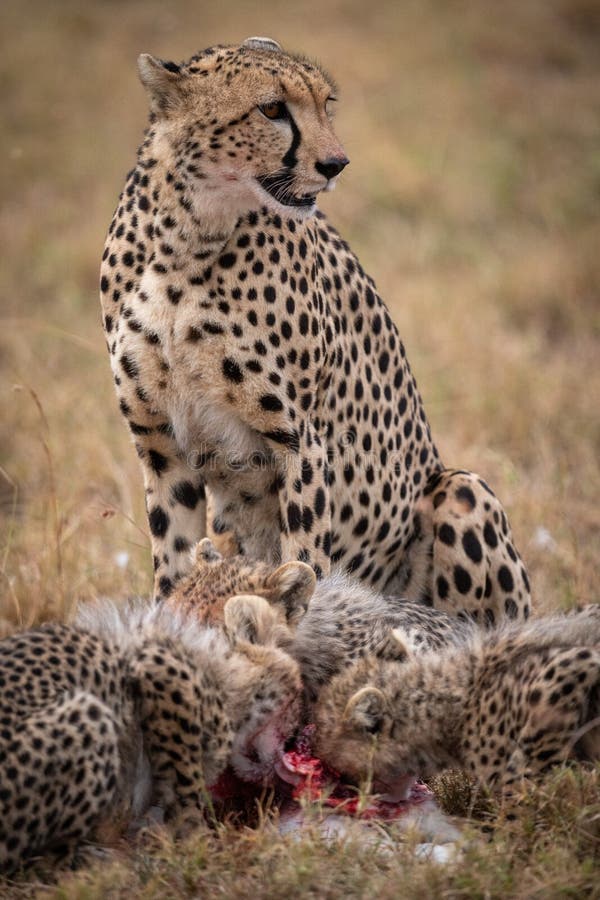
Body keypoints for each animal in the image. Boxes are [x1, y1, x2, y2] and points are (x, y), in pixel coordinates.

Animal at [0, 597, 301, 872]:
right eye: (297, 700)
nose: (291, 743)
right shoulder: (158, 670)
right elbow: (187, 785)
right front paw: (201, 845)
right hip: (88, 713)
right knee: (42, 864)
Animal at [100, 36, 531, 628]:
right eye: (271, 109)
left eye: (326, 103)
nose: (335, 164)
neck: (188, 238)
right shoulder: (161, 445)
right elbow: (174, 562)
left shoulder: (301, 442)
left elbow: (306, 560)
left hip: (462, 491)